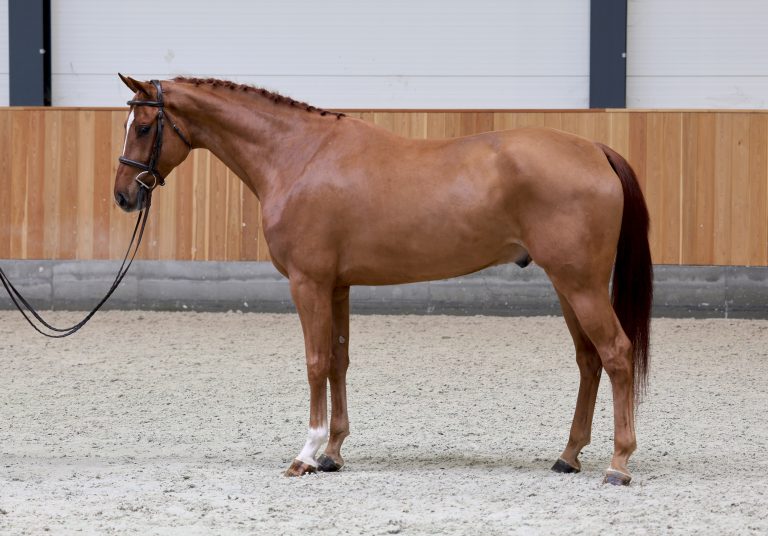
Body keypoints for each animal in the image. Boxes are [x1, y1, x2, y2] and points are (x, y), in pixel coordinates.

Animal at [113, 74, 652, 486]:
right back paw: (569, 456)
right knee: (588, 361)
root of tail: (594, 149)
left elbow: (314, 362)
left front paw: (306, 455)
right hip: (567, 285)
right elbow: (338, 361)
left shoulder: (308, 283)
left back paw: (618, 463)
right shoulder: (336, 286)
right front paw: (332, 453)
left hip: (581, 284)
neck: (298, 155)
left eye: (145, 126)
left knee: (616, 354)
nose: (123, 195)